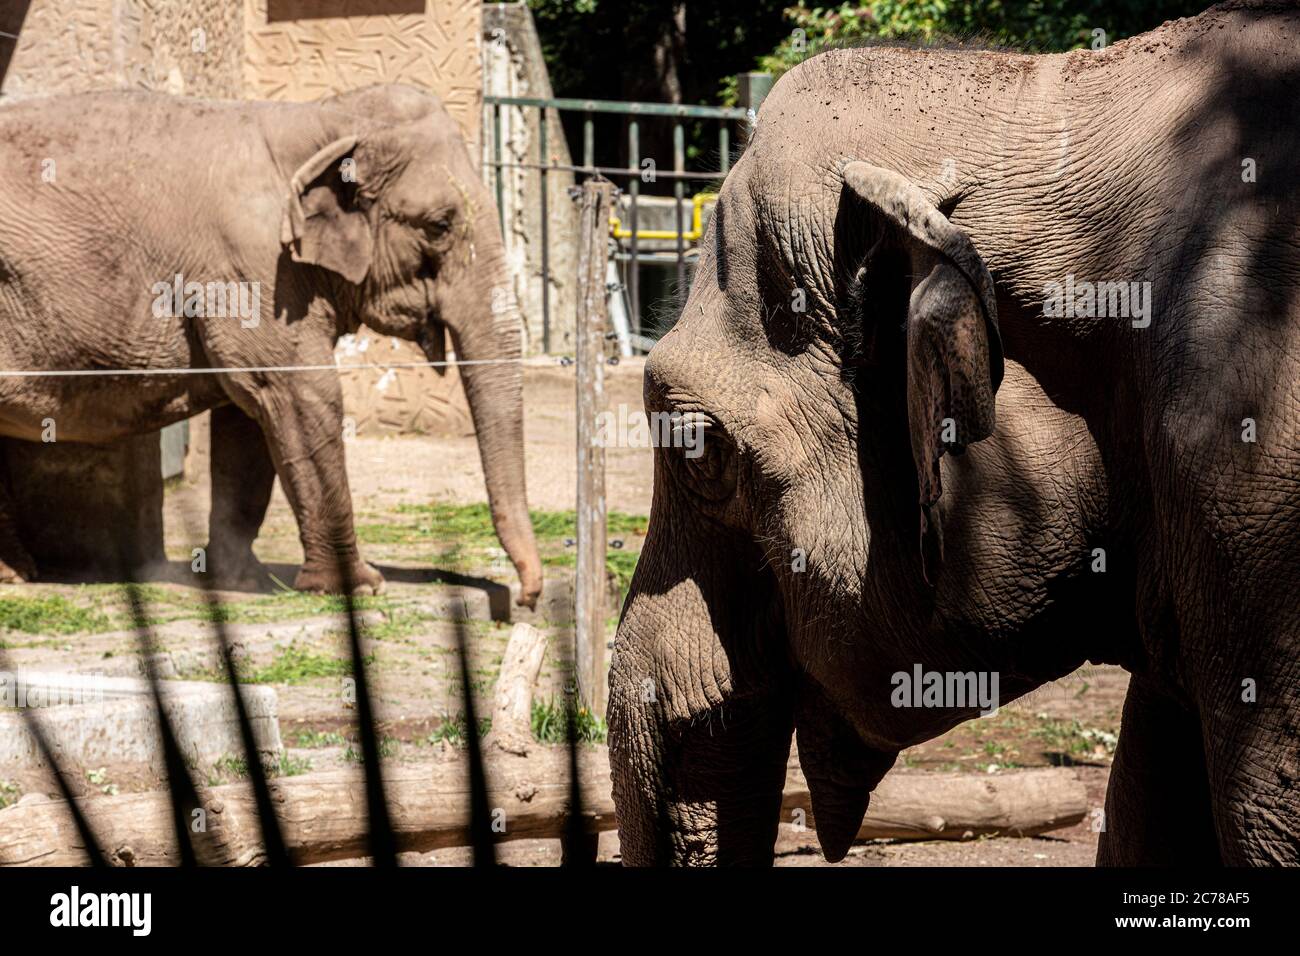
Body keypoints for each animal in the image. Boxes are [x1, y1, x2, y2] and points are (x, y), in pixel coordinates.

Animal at [0, 84, 541, 605]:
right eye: (439, 225)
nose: (526, 598)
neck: (324, 117)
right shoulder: (251, 270)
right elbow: (300, 394)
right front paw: (361, 587)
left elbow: (247, 416)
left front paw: (245, 579)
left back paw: (17, 574)